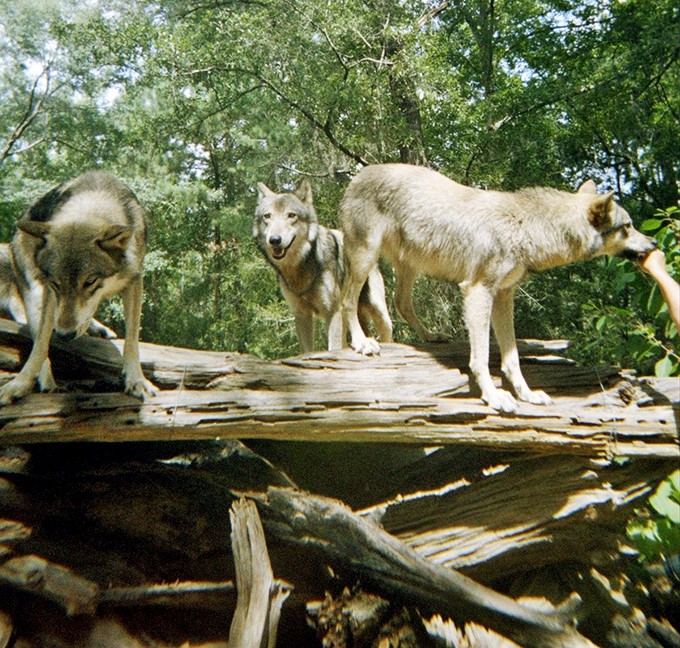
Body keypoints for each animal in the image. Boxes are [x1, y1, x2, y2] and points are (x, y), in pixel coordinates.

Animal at [0, 170, 158, 405]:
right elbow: (40, 345)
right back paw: (46, 380)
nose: (64, 334)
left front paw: (136, 381)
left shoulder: (134, 281)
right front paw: (19, 384)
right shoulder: (50, 293)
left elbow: (131, 341)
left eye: (90, 281)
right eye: (56, 283)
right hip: (33, 292)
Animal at [255, 179, 393, 352]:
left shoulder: (331, 312)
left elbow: (333, 350)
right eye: (267, 216)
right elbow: (308, 352)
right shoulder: (301, 315)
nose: (274, 240)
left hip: (380, 315)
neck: (301, 267)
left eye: (291, 215)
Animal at [339, 163, 657, 413]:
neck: (527, 227)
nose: (654, 243)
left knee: (401, 303)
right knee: (347, 302)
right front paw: (494, 397)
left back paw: (430, 337)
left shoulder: (504, 296)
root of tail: (359, 175)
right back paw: (362, 343)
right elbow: (480, 359)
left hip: (410, 266)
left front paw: (527, 395)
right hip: (367, 259)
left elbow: (512, 358)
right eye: (627, 227)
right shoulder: (478, 292)